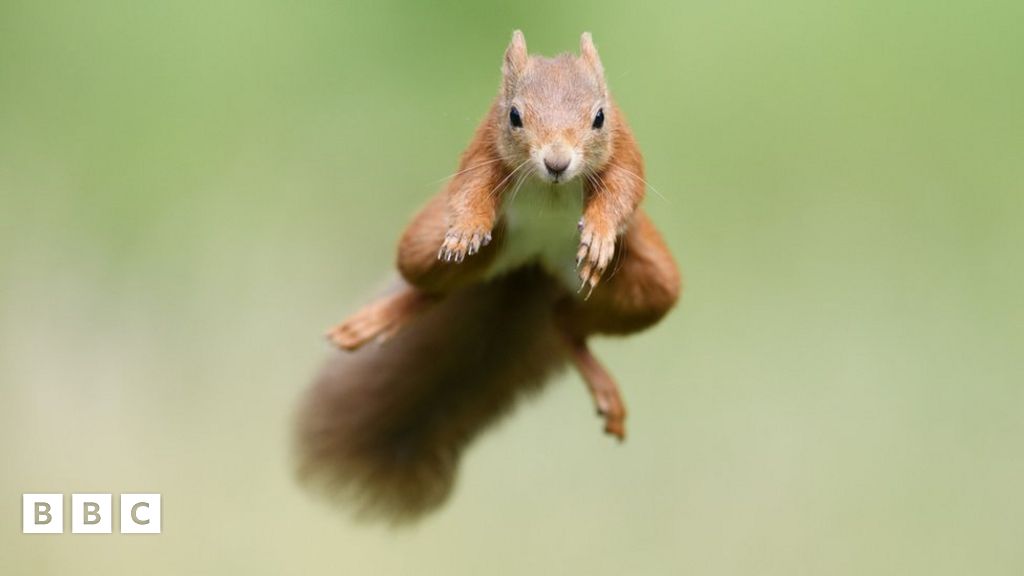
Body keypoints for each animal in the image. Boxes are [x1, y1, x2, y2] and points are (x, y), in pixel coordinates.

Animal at [296, 31, 681, 522]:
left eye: (600, 116)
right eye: (514, 115)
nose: (557, 162)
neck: (551, 190)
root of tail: (534, 263)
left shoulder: (625, 147)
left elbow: (624, 188)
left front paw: (598, 232)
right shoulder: (483, 146)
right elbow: (470, 187)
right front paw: (468, 227)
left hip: (653, 287)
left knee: (567, 322)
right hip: (423, 247)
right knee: (435, 287)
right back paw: (383, 316)